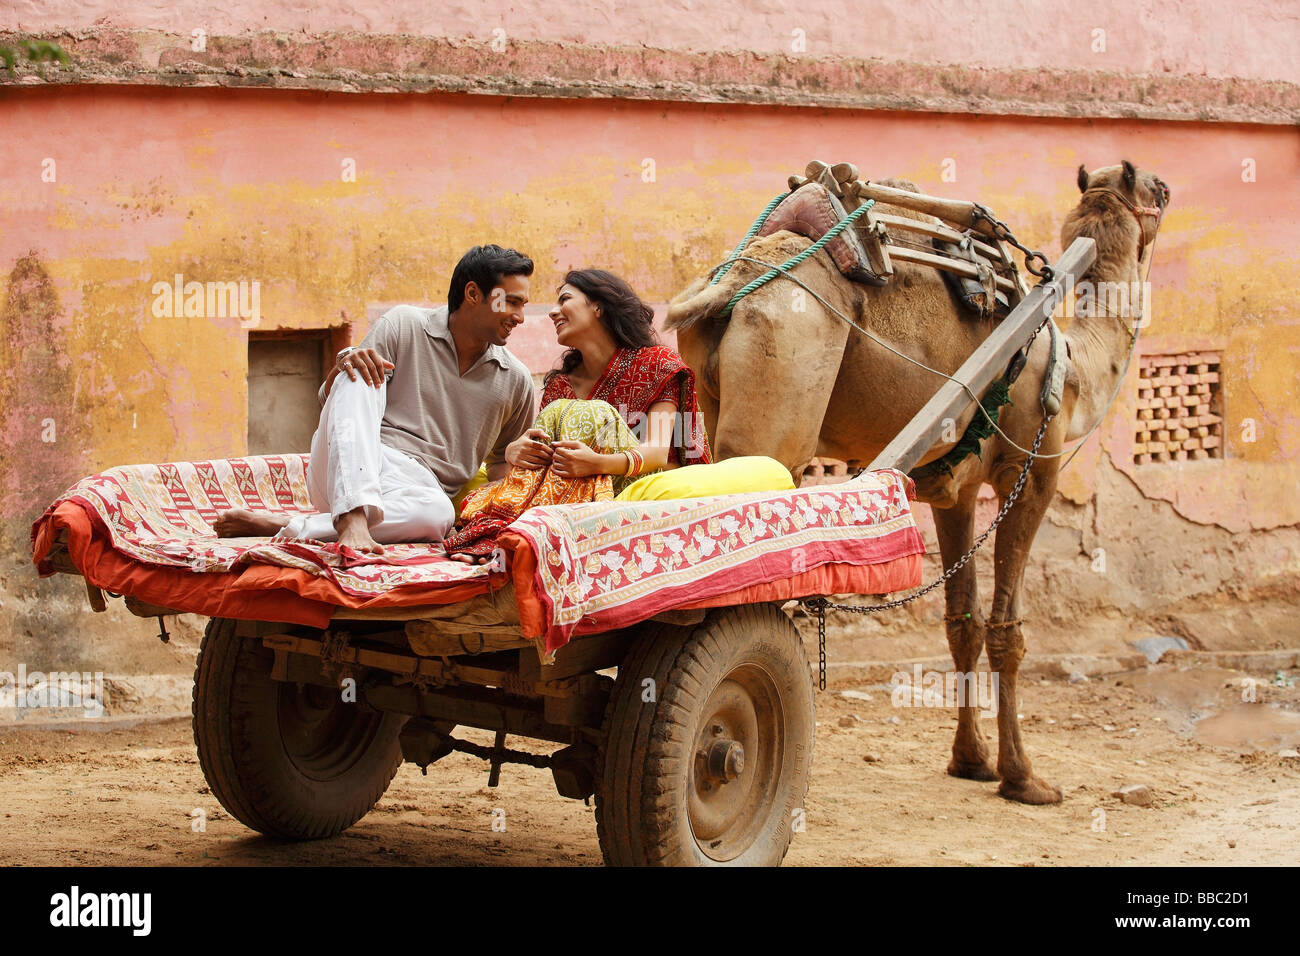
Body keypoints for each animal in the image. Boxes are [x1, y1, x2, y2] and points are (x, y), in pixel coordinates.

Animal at [665, 161, 1170, 804]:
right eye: (1152, 188)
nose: (1170, 189)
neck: (1073, 365)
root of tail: (737, 281)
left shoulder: (954, 487)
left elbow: (963, 623)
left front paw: (970, 760)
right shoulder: (1032, 469)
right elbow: (1007, 630)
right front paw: (1023, 777)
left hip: (710, 396)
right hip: (782, 377)